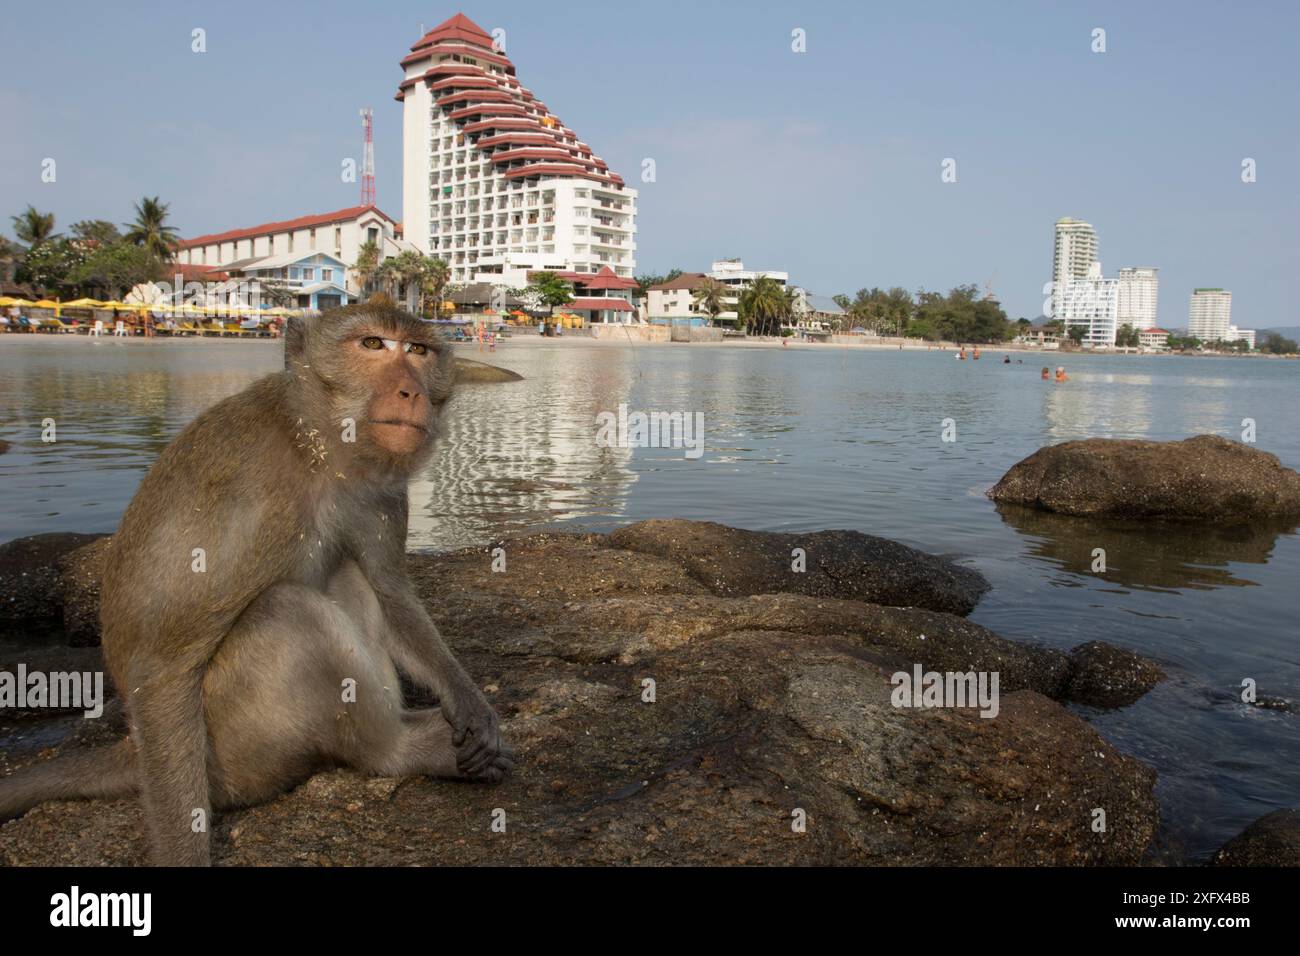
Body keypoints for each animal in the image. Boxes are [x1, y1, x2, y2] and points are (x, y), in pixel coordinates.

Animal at [0, 304, 514, 866]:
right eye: (372, 345)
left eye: (418, 351)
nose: (411, 392)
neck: (316, 443)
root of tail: (130, 750)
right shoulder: (250, 499)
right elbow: (162, 664)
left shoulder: (379, 489)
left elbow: (389, 590)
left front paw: (468, 701)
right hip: (232, 748)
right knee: (288, 611)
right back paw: (397, 751)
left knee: (345, 575)